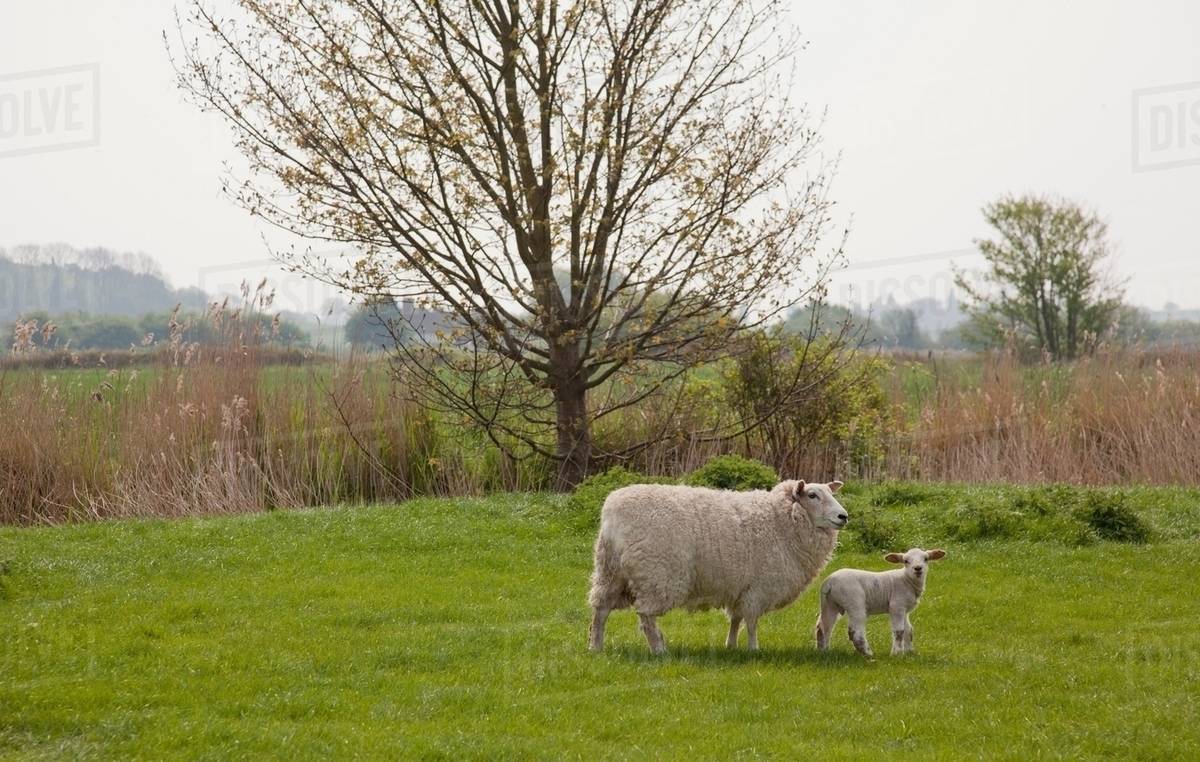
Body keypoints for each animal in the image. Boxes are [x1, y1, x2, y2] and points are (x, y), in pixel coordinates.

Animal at [587, 479, 849, 654]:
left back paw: (595, 646)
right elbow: (751, 622)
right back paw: (659, 649)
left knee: (601, 610)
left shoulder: (740, 588)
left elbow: (736, 619)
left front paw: (730, 645)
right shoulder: (758, 588)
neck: (779, 521)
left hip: (610, 571)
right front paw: (754, 649)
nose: (843, 516)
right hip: (657, 575)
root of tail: (611, 511)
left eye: (830, 493)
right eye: (812, 495)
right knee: (646, 616)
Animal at [814, 547, 947, 658]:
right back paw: (868, 653)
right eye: (906, 561)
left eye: (926, 559)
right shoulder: (896, 606)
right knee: (855, 631)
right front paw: (897, 654)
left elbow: (909, 630)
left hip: (829, 603)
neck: (907, 580)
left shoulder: (904, 609)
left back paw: (824, 651)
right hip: (854, 601)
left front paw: (910, 652)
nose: (918, 568)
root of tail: (829, 582)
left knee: (823, 627)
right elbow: (899, 631)